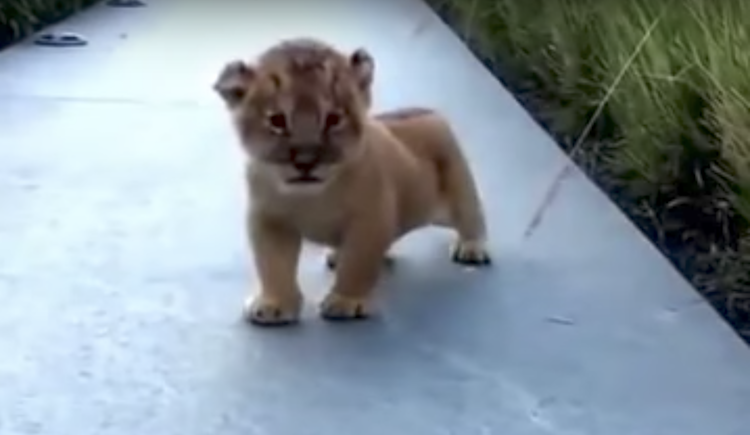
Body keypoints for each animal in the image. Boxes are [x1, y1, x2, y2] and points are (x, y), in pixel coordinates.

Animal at [213, 37, 491, 326]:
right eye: (277, 120)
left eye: (333, 119)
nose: (305, 161)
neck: (309, 196)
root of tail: (427, 110)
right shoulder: (270, 220)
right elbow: (273, 265)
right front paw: (274, 305)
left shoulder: (369, 220)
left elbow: (357, 264)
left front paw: (345, 302)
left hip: (455, 190)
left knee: (471, 216)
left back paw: (471, 248)